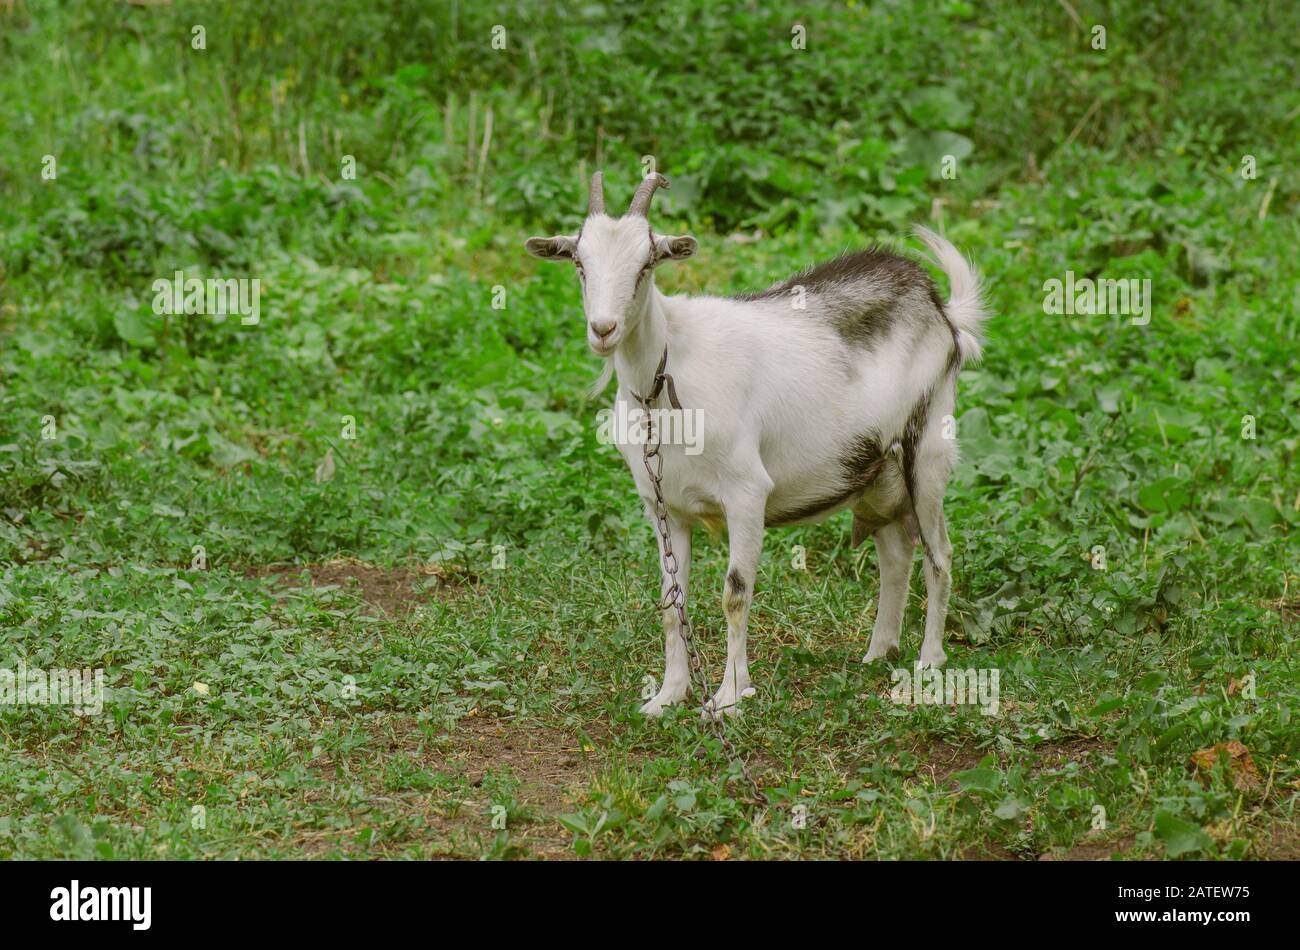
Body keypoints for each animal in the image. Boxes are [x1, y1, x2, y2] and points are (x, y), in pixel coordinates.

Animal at [526, 172, 988, 717]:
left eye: (646, 263)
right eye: (580, 262)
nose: (603, 329)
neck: (666, 374)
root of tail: (940, 308)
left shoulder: (747, 493)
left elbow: (735, 593)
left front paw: (728, 697)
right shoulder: (664, 504)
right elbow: (671, 599)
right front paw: (668, 696)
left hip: (928, 451)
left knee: (940, 554)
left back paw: (929, 661)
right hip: (880, 472)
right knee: (896, 553)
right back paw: (879, 651)